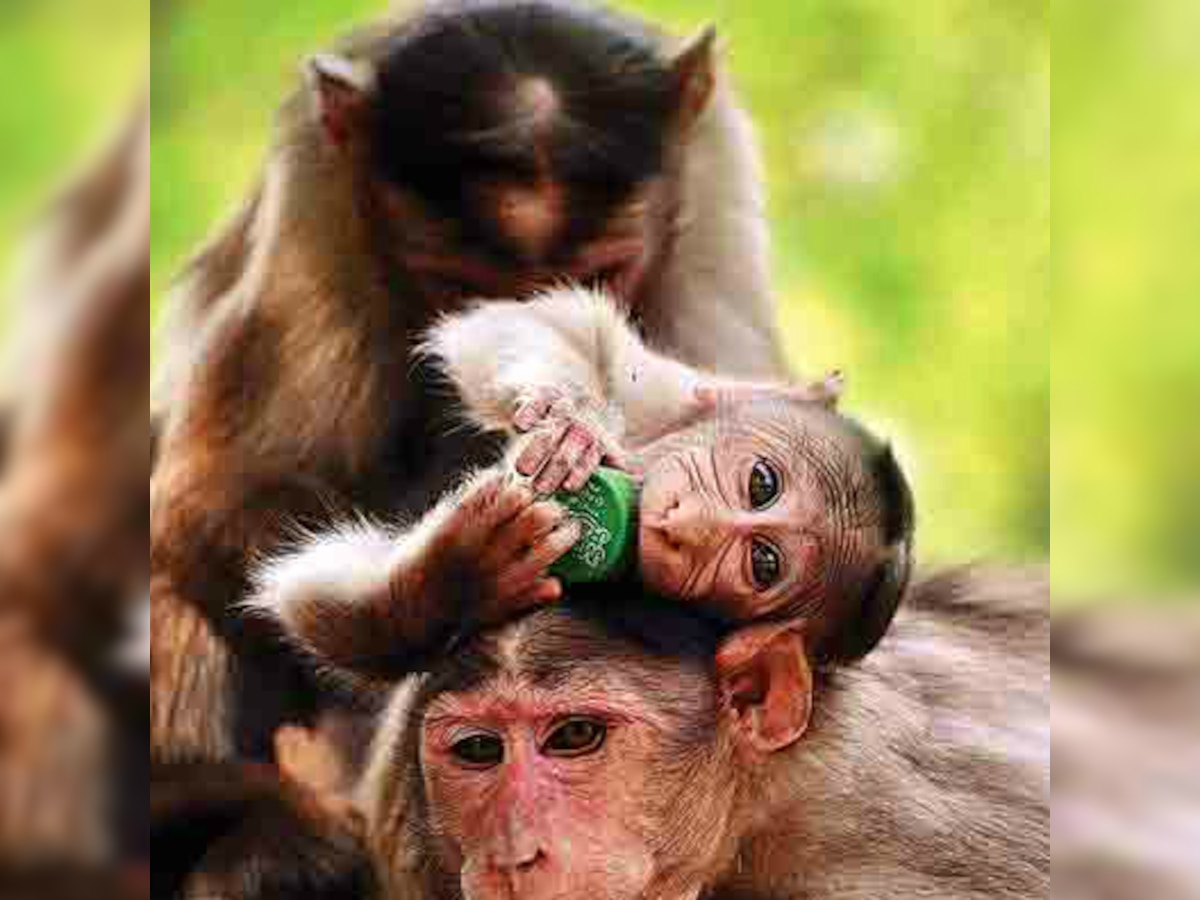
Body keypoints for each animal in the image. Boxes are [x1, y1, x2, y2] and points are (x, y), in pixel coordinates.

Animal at [151, 0, 790, 766]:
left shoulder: (715, 205)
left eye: (601, 273)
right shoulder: (312, 216)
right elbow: (210, 496)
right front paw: (434, 594)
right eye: (460, 286)